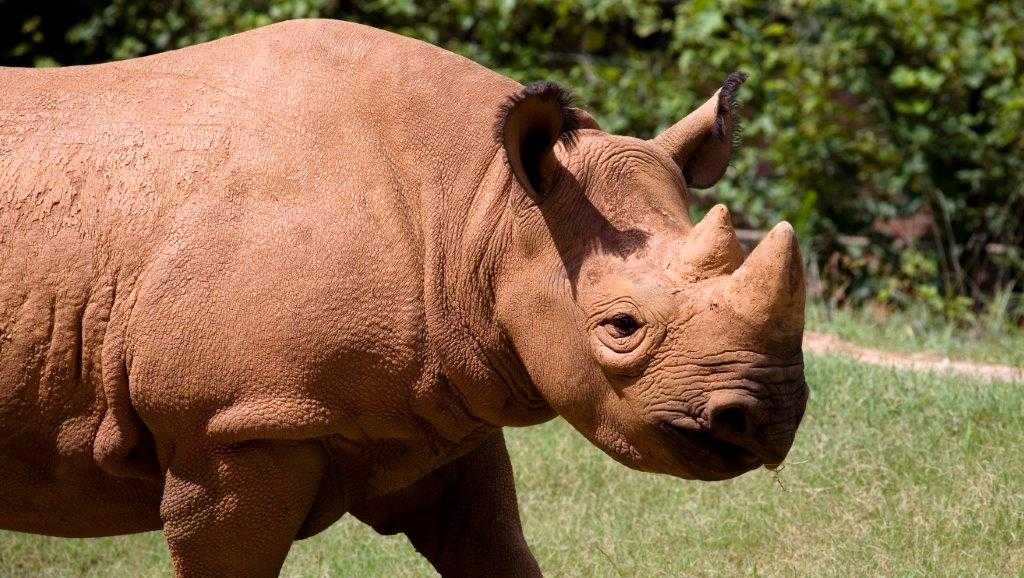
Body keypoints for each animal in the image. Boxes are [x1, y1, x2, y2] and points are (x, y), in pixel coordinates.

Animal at [0, 19, 808, 577]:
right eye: (621, 325)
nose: (770, 418)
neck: (481, 207)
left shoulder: (438, 405)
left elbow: (497, 550)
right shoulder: (230, 425)